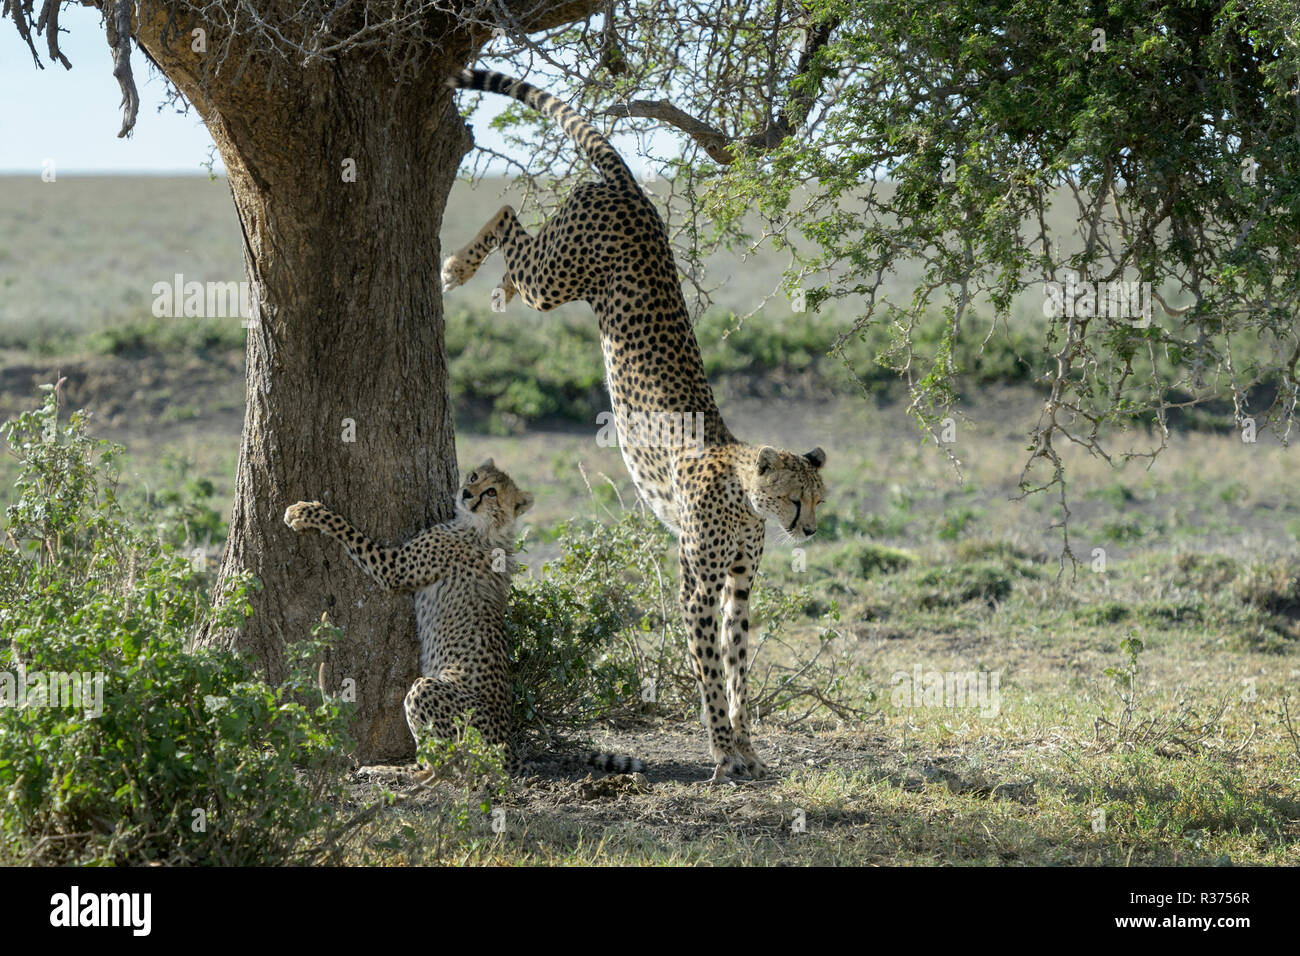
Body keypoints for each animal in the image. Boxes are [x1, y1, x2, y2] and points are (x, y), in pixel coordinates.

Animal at [284, 458, 643, 777]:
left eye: (492, 492)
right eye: (474, 476)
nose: (467, 493)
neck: (482, 526)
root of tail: (507, 746)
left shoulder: (393, 567)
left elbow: (348, 530)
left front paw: (305, 512)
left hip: (428, 689)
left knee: (437, 768)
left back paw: (385, 772)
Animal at [442, 69, 828, 784]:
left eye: (818, 500)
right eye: (795, 498)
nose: (810, 529)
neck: (744, 496)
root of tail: (631, 187)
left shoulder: (739, 585)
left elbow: (739, 665)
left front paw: (748, 746)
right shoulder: (697, 582)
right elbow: (710, 670)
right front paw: (722, 750)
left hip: (559, 277)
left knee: (517, 249)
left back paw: (491, 285)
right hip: (558, 276)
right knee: (510, 217)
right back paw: (458, 267)